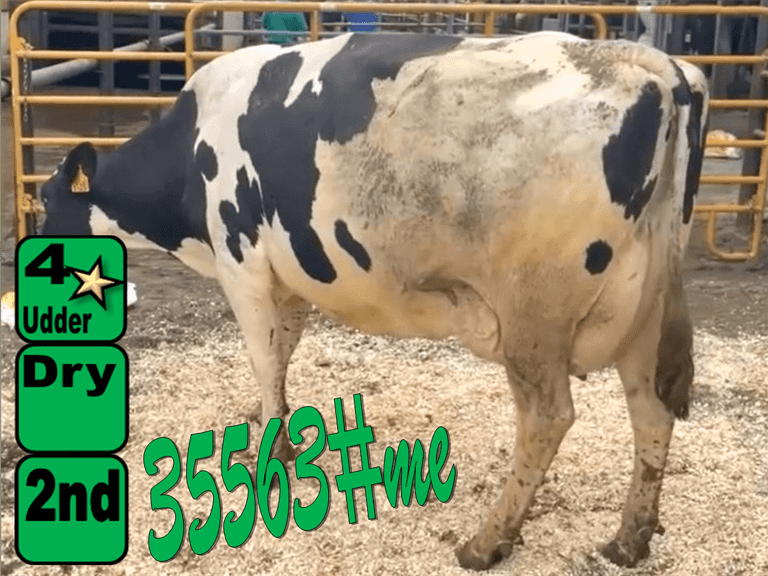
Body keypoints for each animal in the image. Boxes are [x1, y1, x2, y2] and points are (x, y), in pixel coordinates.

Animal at [37, 32, 708, 570]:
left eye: (45, 203)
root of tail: (641, 60)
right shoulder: (289, 278)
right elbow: (283, 355)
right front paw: (275, 431)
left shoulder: (242, 263)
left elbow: (263, 358)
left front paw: (269, 457)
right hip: (643, 316)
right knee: (651, 413)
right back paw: (629, 540)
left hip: (533, 319)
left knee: (549, 418)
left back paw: (486, 542)